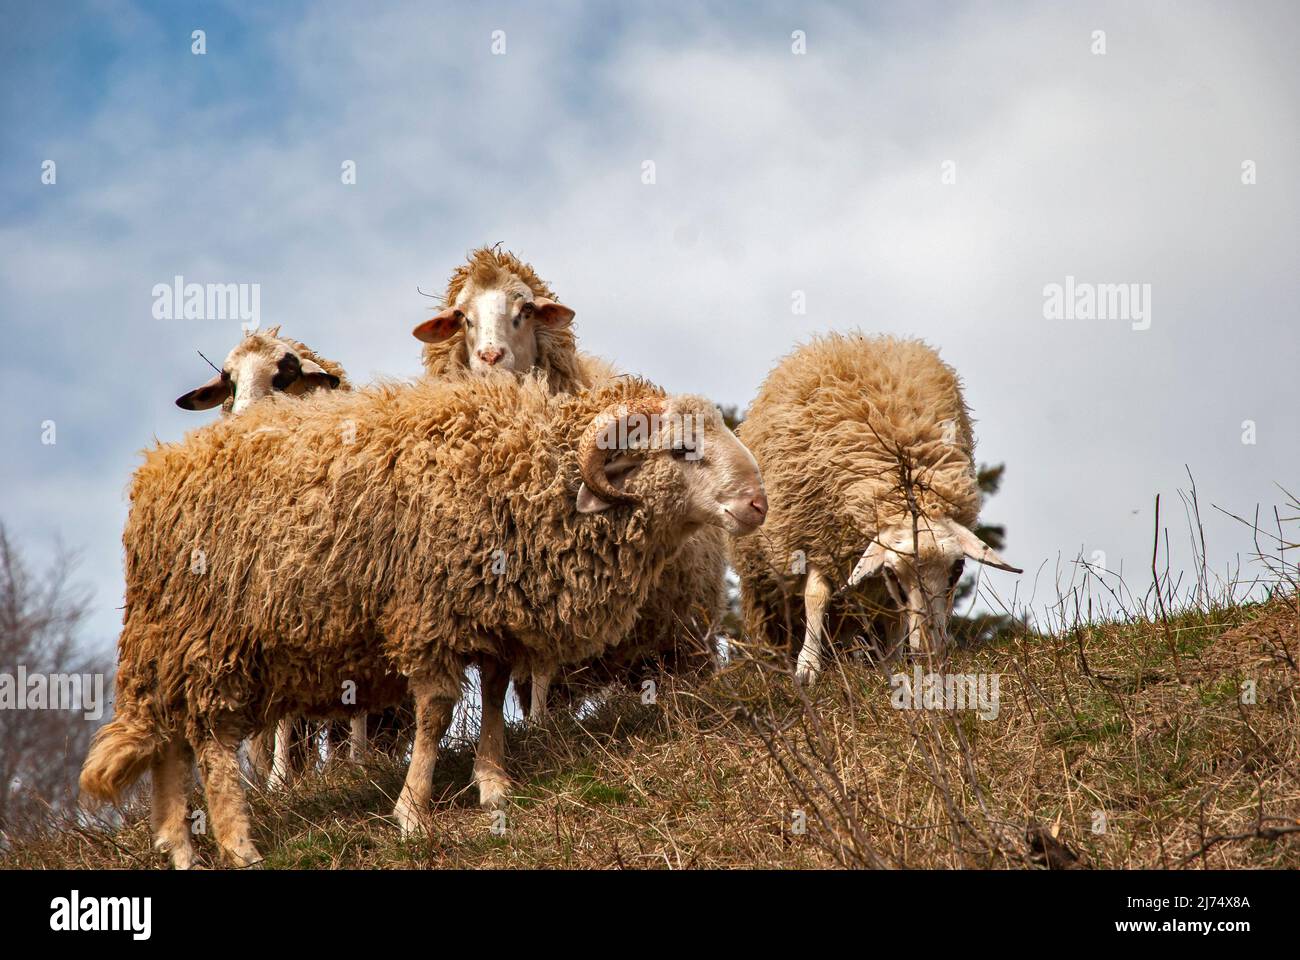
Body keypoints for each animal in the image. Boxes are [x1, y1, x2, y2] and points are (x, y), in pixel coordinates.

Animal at [80, 370, 766, 868]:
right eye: (681, 449)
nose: (758, 503)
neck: (524, 467)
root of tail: (156, 469)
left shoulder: (490, 619)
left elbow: (492, 696)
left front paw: (494, 784)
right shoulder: (425, 614)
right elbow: (435, 712)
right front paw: (412, 810)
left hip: (180, 647)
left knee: (172, 742)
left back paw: (180, 847)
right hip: (209, 638)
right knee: (210, 743)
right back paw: (237, 843)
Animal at [414, 246, 731, 720]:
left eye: (525, 310)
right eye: (463, 317)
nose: (490, 357)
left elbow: (542, 665)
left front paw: (538, 729)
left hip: (685, 632)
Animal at [731, 333, 1020, 686]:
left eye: (957, 571)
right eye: (896, 574)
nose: (929, 651)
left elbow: (893, 615)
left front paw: (894, 664)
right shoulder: (815, 535)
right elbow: (816, 596)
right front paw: (807, 668)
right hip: (762, 586)